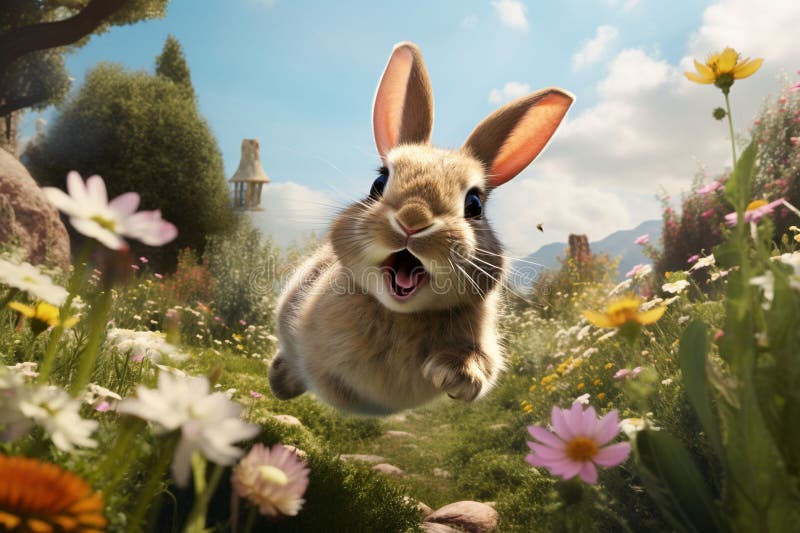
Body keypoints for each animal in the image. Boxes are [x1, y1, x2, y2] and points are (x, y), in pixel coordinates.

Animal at [268, 42, 573, 415]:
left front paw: (449, 373)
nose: (412, 221)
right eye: (378, 183)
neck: (400, 312)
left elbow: (481, 366)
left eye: (474, 205)